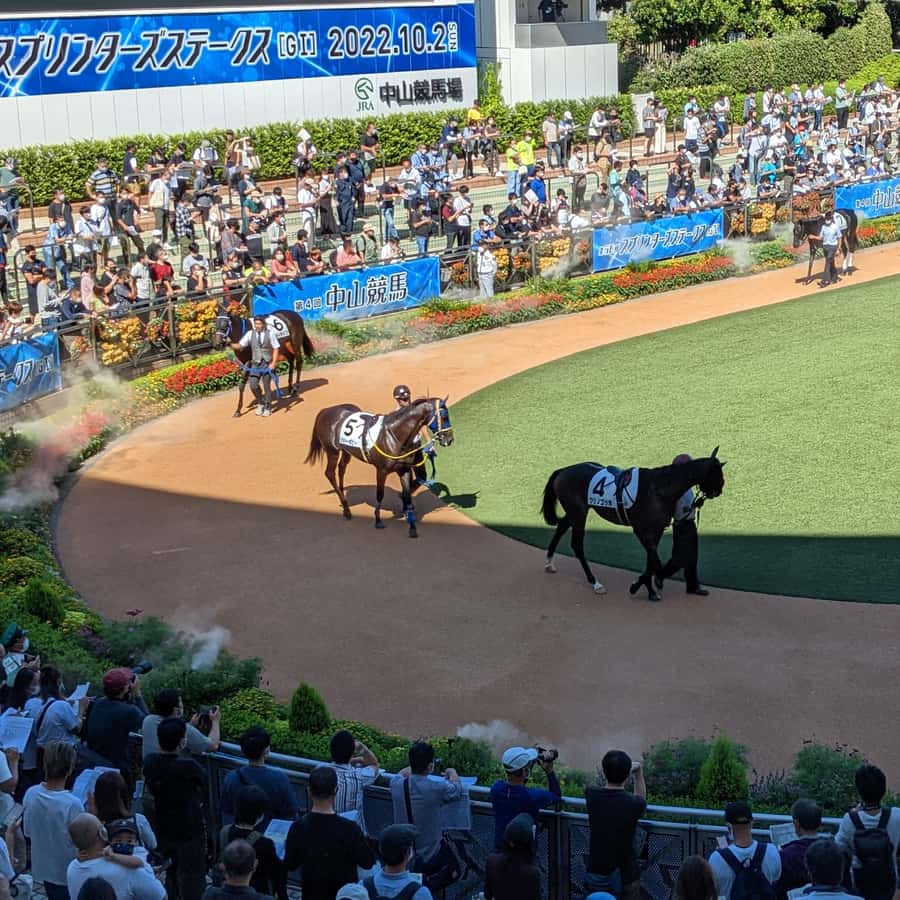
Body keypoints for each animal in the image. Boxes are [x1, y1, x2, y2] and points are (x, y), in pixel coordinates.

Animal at [305, 397, 453, 538]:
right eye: (444, 416)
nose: (450, 439)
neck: (393, 436)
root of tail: (326, 410)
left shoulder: (404, 470)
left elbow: (407, 496)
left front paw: (412, 526)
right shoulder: (381, 471)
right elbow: (380, 494)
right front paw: (378, 520)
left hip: (346, 451)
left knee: (341, 469)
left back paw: (344, 500)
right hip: (332, 451)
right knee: (330, 473)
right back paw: (347, 510)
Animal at [540, 448, 725, 602]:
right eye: (718, 474)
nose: (719, 490)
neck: (658, 488)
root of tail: (563, 470)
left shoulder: (657, 529)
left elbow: (651, 560)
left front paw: (649, 590)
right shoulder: (641, 530)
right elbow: (656, 561)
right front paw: (643, 585)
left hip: (575, 511)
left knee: (562, 526)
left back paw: (549, 563)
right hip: (578, 512)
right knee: (577, 544)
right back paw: (595, 583)